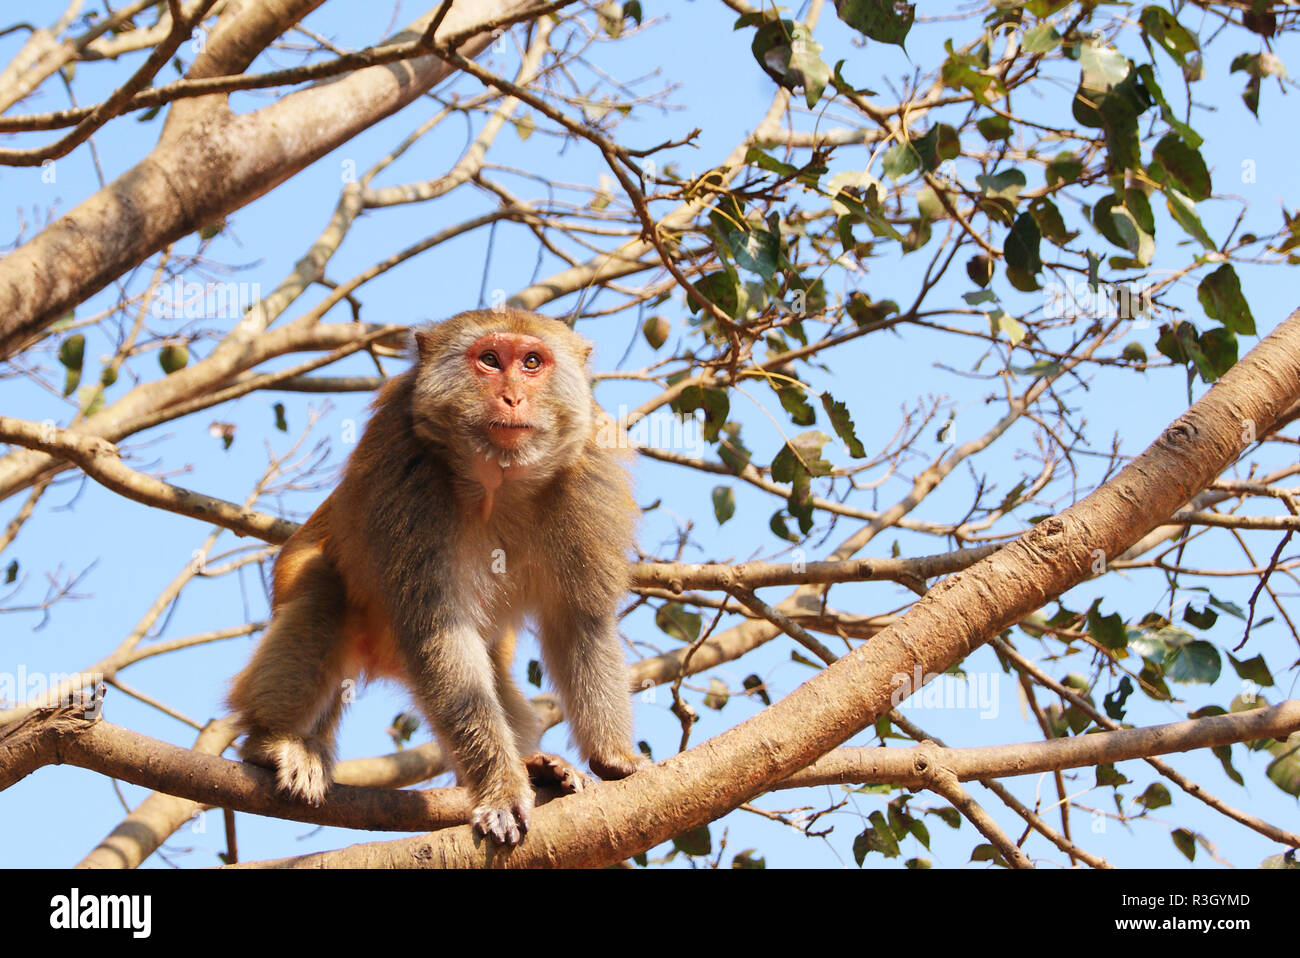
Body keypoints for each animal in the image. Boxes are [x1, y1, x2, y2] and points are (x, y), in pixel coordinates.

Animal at [227, 307, 649, 846]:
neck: (499, 481)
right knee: (321, 600)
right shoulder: (408, 478)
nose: (513, 397)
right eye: (489, 360)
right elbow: (439, 634)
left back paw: (535, 764)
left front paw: (614, 758)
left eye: (532, 362)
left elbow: (580, 623)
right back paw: (271, 741)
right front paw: (500, 791)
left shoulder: (585, 482)